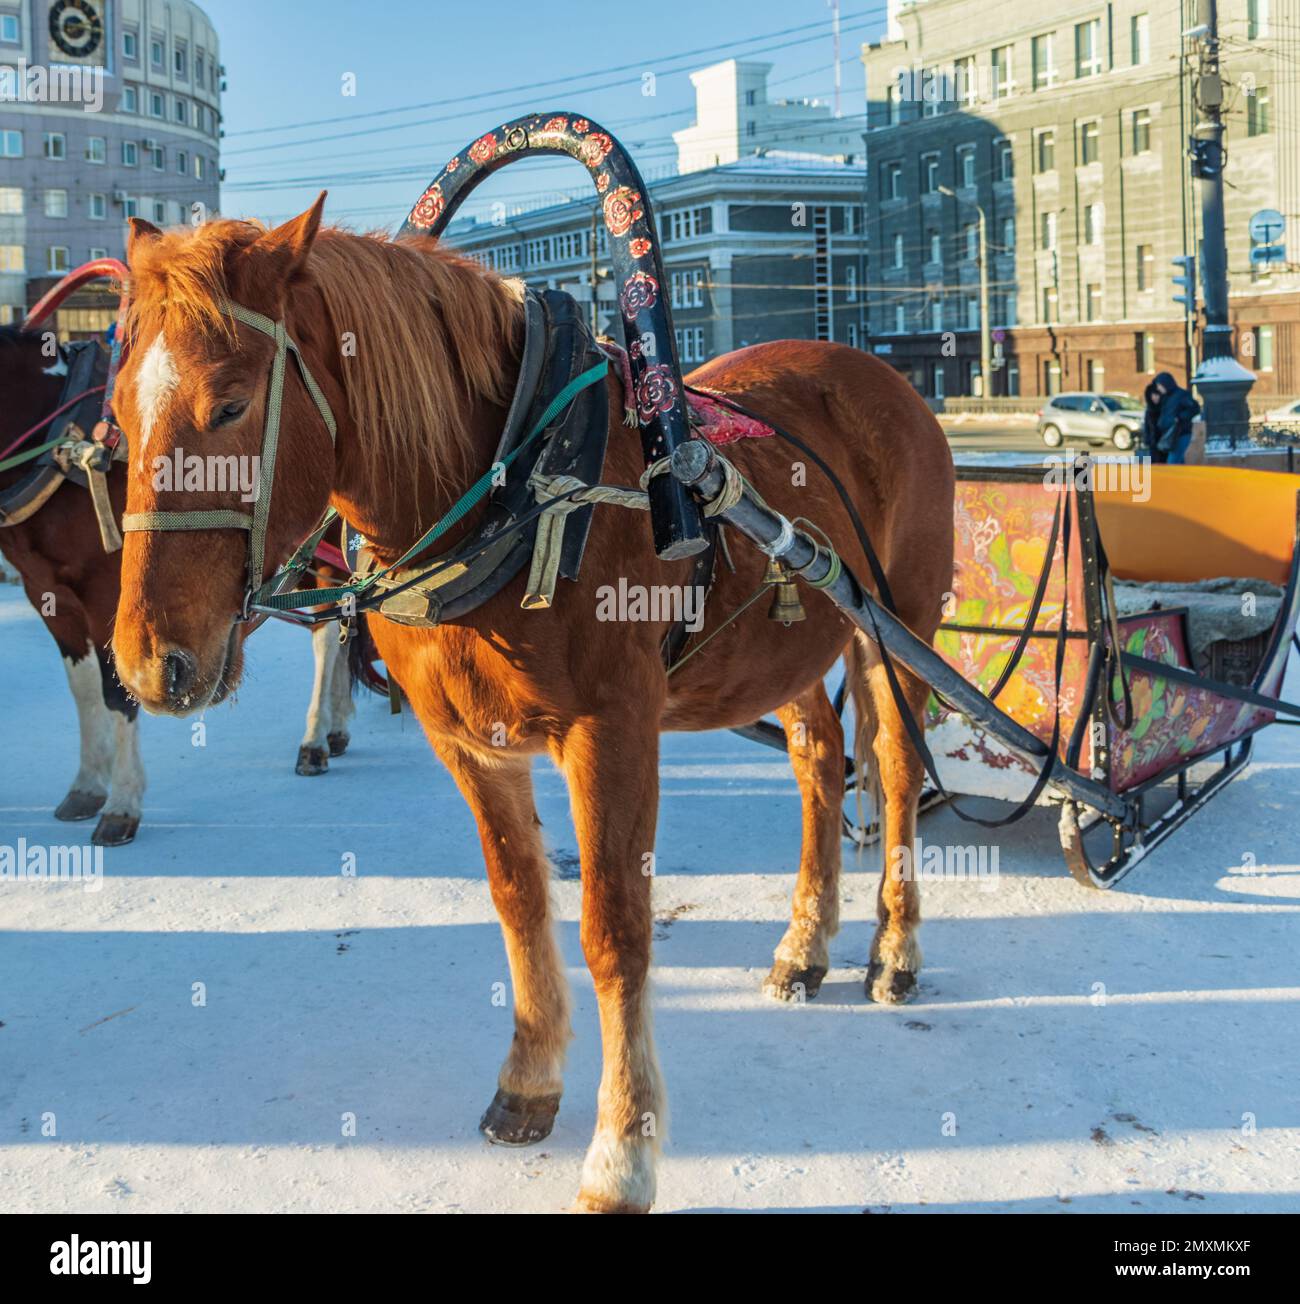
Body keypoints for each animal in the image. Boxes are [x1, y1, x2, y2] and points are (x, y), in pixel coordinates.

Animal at [0, 326, 371, 846]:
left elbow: (116, 691)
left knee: (324, 637)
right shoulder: (48, 595)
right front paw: (87, 784)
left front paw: (122, 802)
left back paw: (315, 738)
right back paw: (336, 727)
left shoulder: (107, 597)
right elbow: (83, 688)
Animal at [108, 197, 955, 1213]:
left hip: (898, 624)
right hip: (786, 649)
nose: (147, 666)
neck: (517, 488)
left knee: (897, 770)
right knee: (820, 763)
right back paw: (804, 945)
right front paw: (530, 1080)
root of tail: (881, 373)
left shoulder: (612, 731)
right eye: (117, 413)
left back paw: (895, 949)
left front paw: (622, 1151)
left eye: (230, 404)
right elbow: (518, 903)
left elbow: (614, 929)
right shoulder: (469, 744)